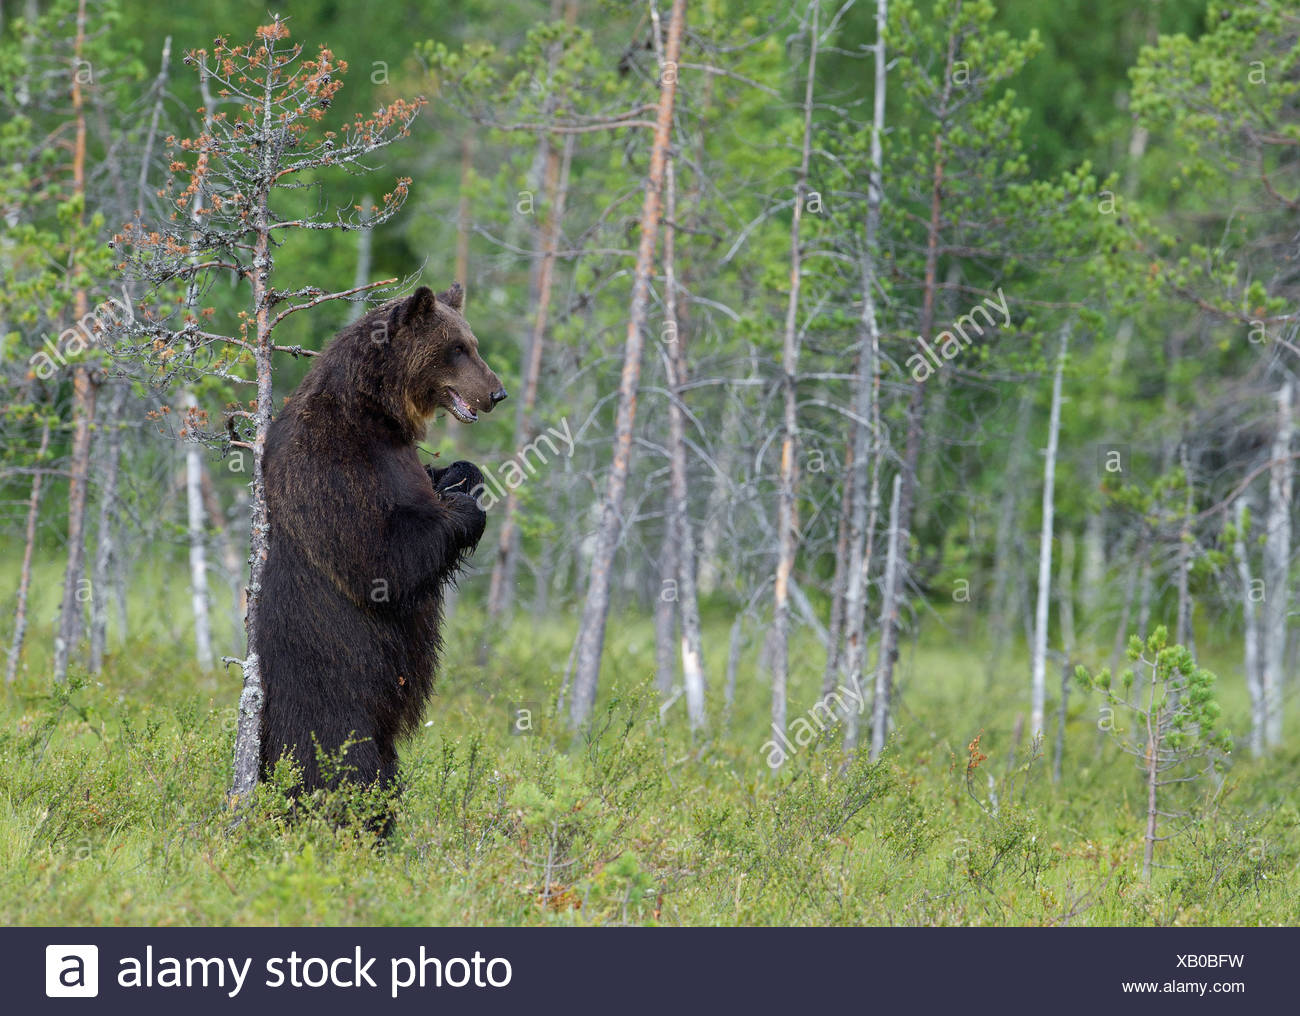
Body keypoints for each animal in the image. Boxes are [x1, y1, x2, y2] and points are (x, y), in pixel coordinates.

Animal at [256, 281, 506, 821]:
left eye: (472, 343)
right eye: (458, 348)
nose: (497, 392)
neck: (378, 412)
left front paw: (463, 473)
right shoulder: (332, 460)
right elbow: (377, 555)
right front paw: (463, 509)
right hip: (336, 683)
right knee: (342, 761)